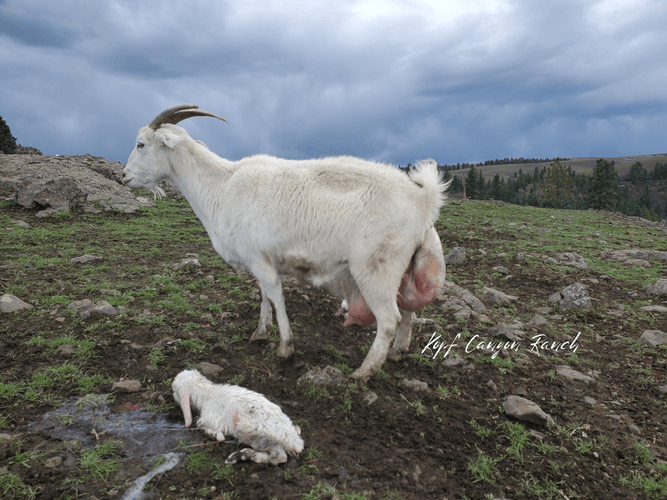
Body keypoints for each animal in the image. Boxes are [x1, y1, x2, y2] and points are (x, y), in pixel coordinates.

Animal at [123, 104, 449, 381]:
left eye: (140, 144)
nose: (124, 177)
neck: (221, 185)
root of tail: (423, 200)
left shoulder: (259, 258)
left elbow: (276, 296)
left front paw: (285, 347)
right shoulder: (260, 258)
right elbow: (264, 295)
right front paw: (260, 332)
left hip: (376, 267)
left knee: (390, 318)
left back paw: (364, 371)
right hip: (403, 268)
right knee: (408, 310)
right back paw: (397, 352)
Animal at [172, 369, 304, 465]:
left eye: (174, 390)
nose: (173, 396)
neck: (209, 393)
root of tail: (294, 442)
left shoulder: (212, 420)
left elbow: (203, 426)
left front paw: (216, 435)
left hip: (260, 437)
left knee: (279, 457)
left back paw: (239, 456)